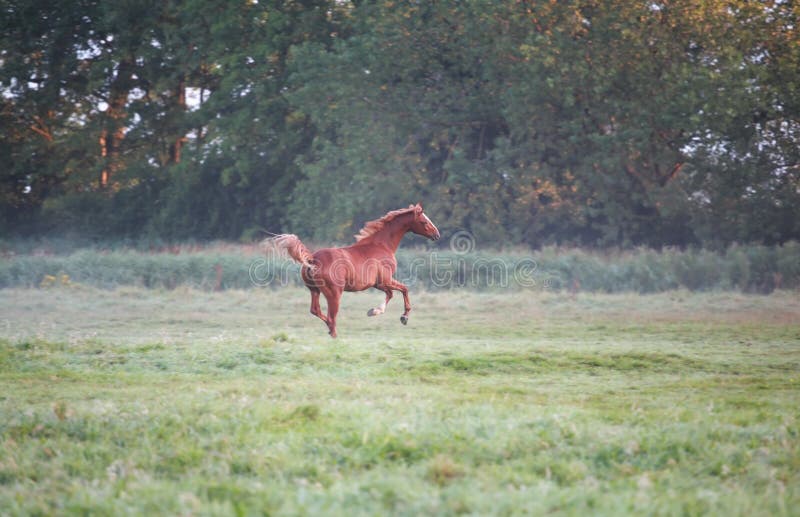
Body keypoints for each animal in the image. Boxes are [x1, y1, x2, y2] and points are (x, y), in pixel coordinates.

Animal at [267, 203, 440, 338]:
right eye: (424, 221)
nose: (437, 235)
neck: (381, 245)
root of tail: (312, 259)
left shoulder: (378, 284)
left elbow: (391, 294)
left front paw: (374, 311)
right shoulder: (385, 280)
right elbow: (404, 289)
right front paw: (403, 317)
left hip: (314, 290)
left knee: (316, 310)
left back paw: (330, 330)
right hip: (334, 293)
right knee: (331, 316)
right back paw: (334, 336)